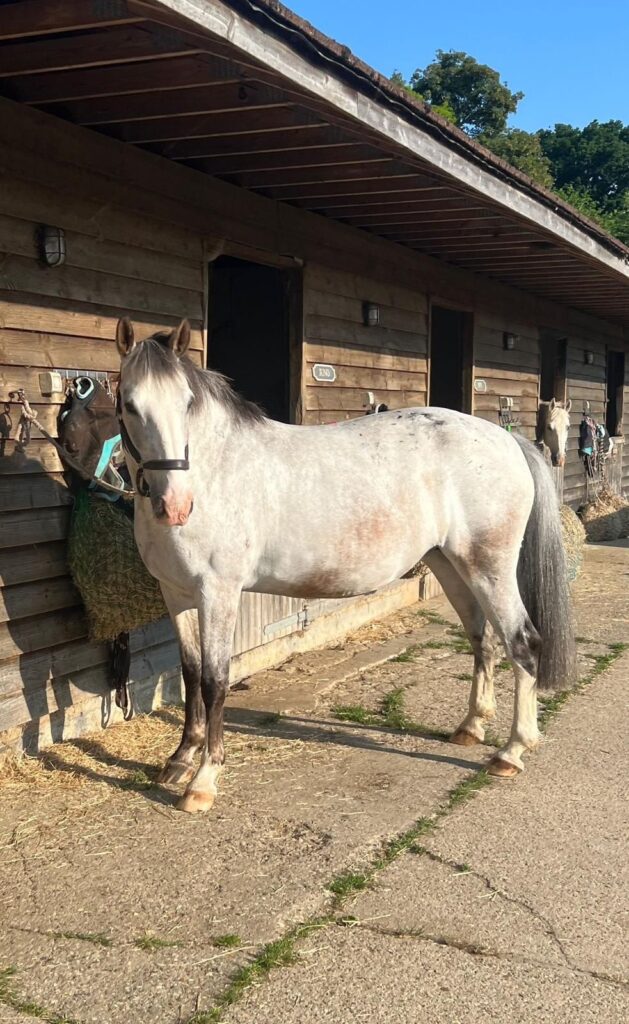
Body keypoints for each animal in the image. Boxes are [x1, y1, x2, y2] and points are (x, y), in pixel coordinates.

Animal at [113, 317, 575, 814]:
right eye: (129, 404)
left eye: (186, 403)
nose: (175, 505)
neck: (214, 470)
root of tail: (506, 438)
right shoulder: (176, 593)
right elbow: (190, 675)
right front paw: (180, 759)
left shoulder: (218, 592)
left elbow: (215, 680)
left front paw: (203, 781)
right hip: (452, 565)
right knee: (483, 639)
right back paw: (471, 728)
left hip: (490, 568)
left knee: (522, 642)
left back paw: (512, 751)